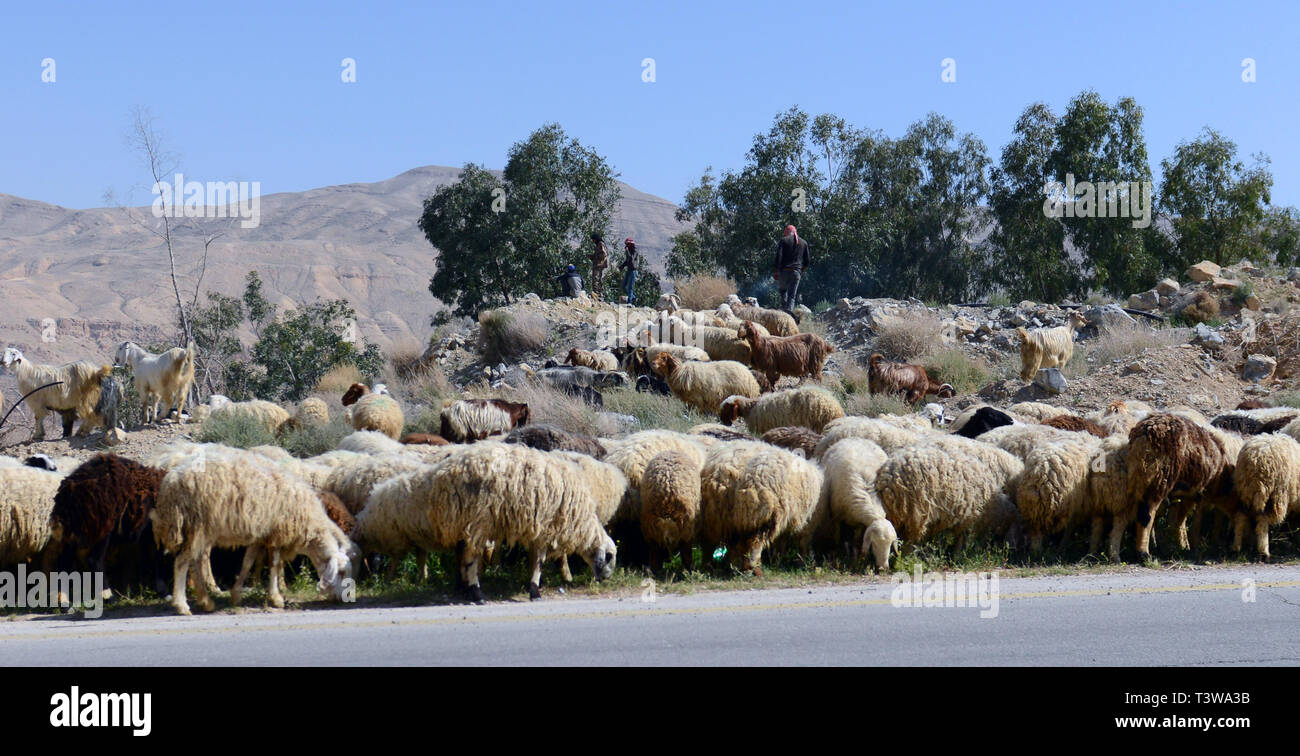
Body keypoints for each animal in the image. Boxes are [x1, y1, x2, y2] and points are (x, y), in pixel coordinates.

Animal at [152, 453, 355, 614]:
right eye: (341, 572)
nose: (344, 599)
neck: (308, 523)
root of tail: (171, 481)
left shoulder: (261, 534)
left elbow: (247, 562)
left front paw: (236, 594)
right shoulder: (276, 534)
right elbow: (274, 565)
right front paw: (276, 598)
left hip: (199, 531)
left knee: (194, 562)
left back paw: (206, 601)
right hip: (196, 525)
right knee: (182, 562)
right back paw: (182, 606)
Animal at [425, 443, 618, 601]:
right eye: (609, 557)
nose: (605, 579)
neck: (580, 521)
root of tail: (443, 474)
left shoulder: (537, 529)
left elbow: (535, 560)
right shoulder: (545, 529)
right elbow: (539, 562)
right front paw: (535, 591)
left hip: (465, 522)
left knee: (462, 554)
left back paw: (464, 588)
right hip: (479, 519)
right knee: (471, 557)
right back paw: (477, 593)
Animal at [698, 440, 823, 576]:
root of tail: (729, 475)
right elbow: (789, 543)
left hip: (724, 516)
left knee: (725, 544)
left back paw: (729, 567)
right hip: (760, 515)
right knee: (754, 544)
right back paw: (753, 569)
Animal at [817, 438, 895, 570]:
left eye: (890, 544)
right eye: (874, 544)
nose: (883, 568)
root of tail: (854, 438)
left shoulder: (859, 523)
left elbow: (857, 541)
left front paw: (857, 559)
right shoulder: (836, 517)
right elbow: (837, 537)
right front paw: (837, 555)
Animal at [1126, 414, 1233, 562]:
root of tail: (1145, 434)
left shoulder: (1183, 494)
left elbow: (1179, 519)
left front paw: (1178, 544)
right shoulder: (1202, 492)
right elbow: (1195, 521)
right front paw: (1193, 547)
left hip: (1139, 479)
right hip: (1160, 479)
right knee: (1147, 513)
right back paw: (1144, 553)